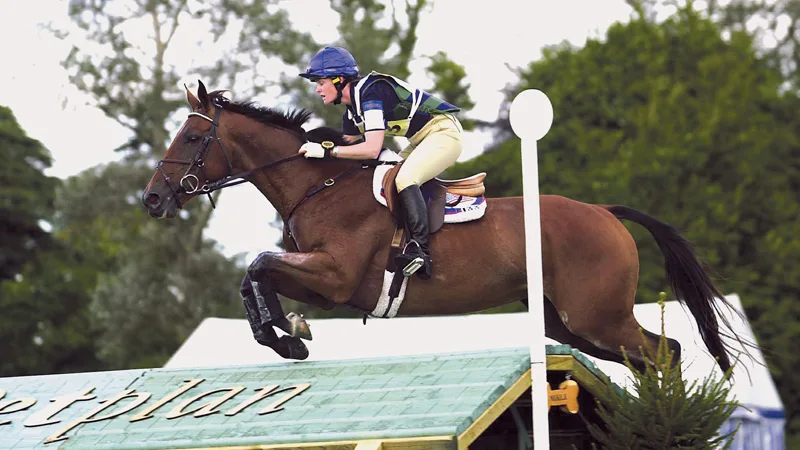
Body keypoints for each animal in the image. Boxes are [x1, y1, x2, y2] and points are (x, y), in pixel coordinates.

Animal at [141, 81, 743, 376]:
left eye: (191, 138)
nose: (152, 198)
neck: (319, 186)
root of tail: (605, 212)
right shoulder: (323, 284)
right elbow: (256, 276)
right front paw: (289, 331)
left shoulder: (335, 276)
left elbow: (259, 265)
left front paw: (286, 337)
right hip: (568, 324)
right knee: (651, 356)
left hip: (596, 314)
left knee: (665, 352)